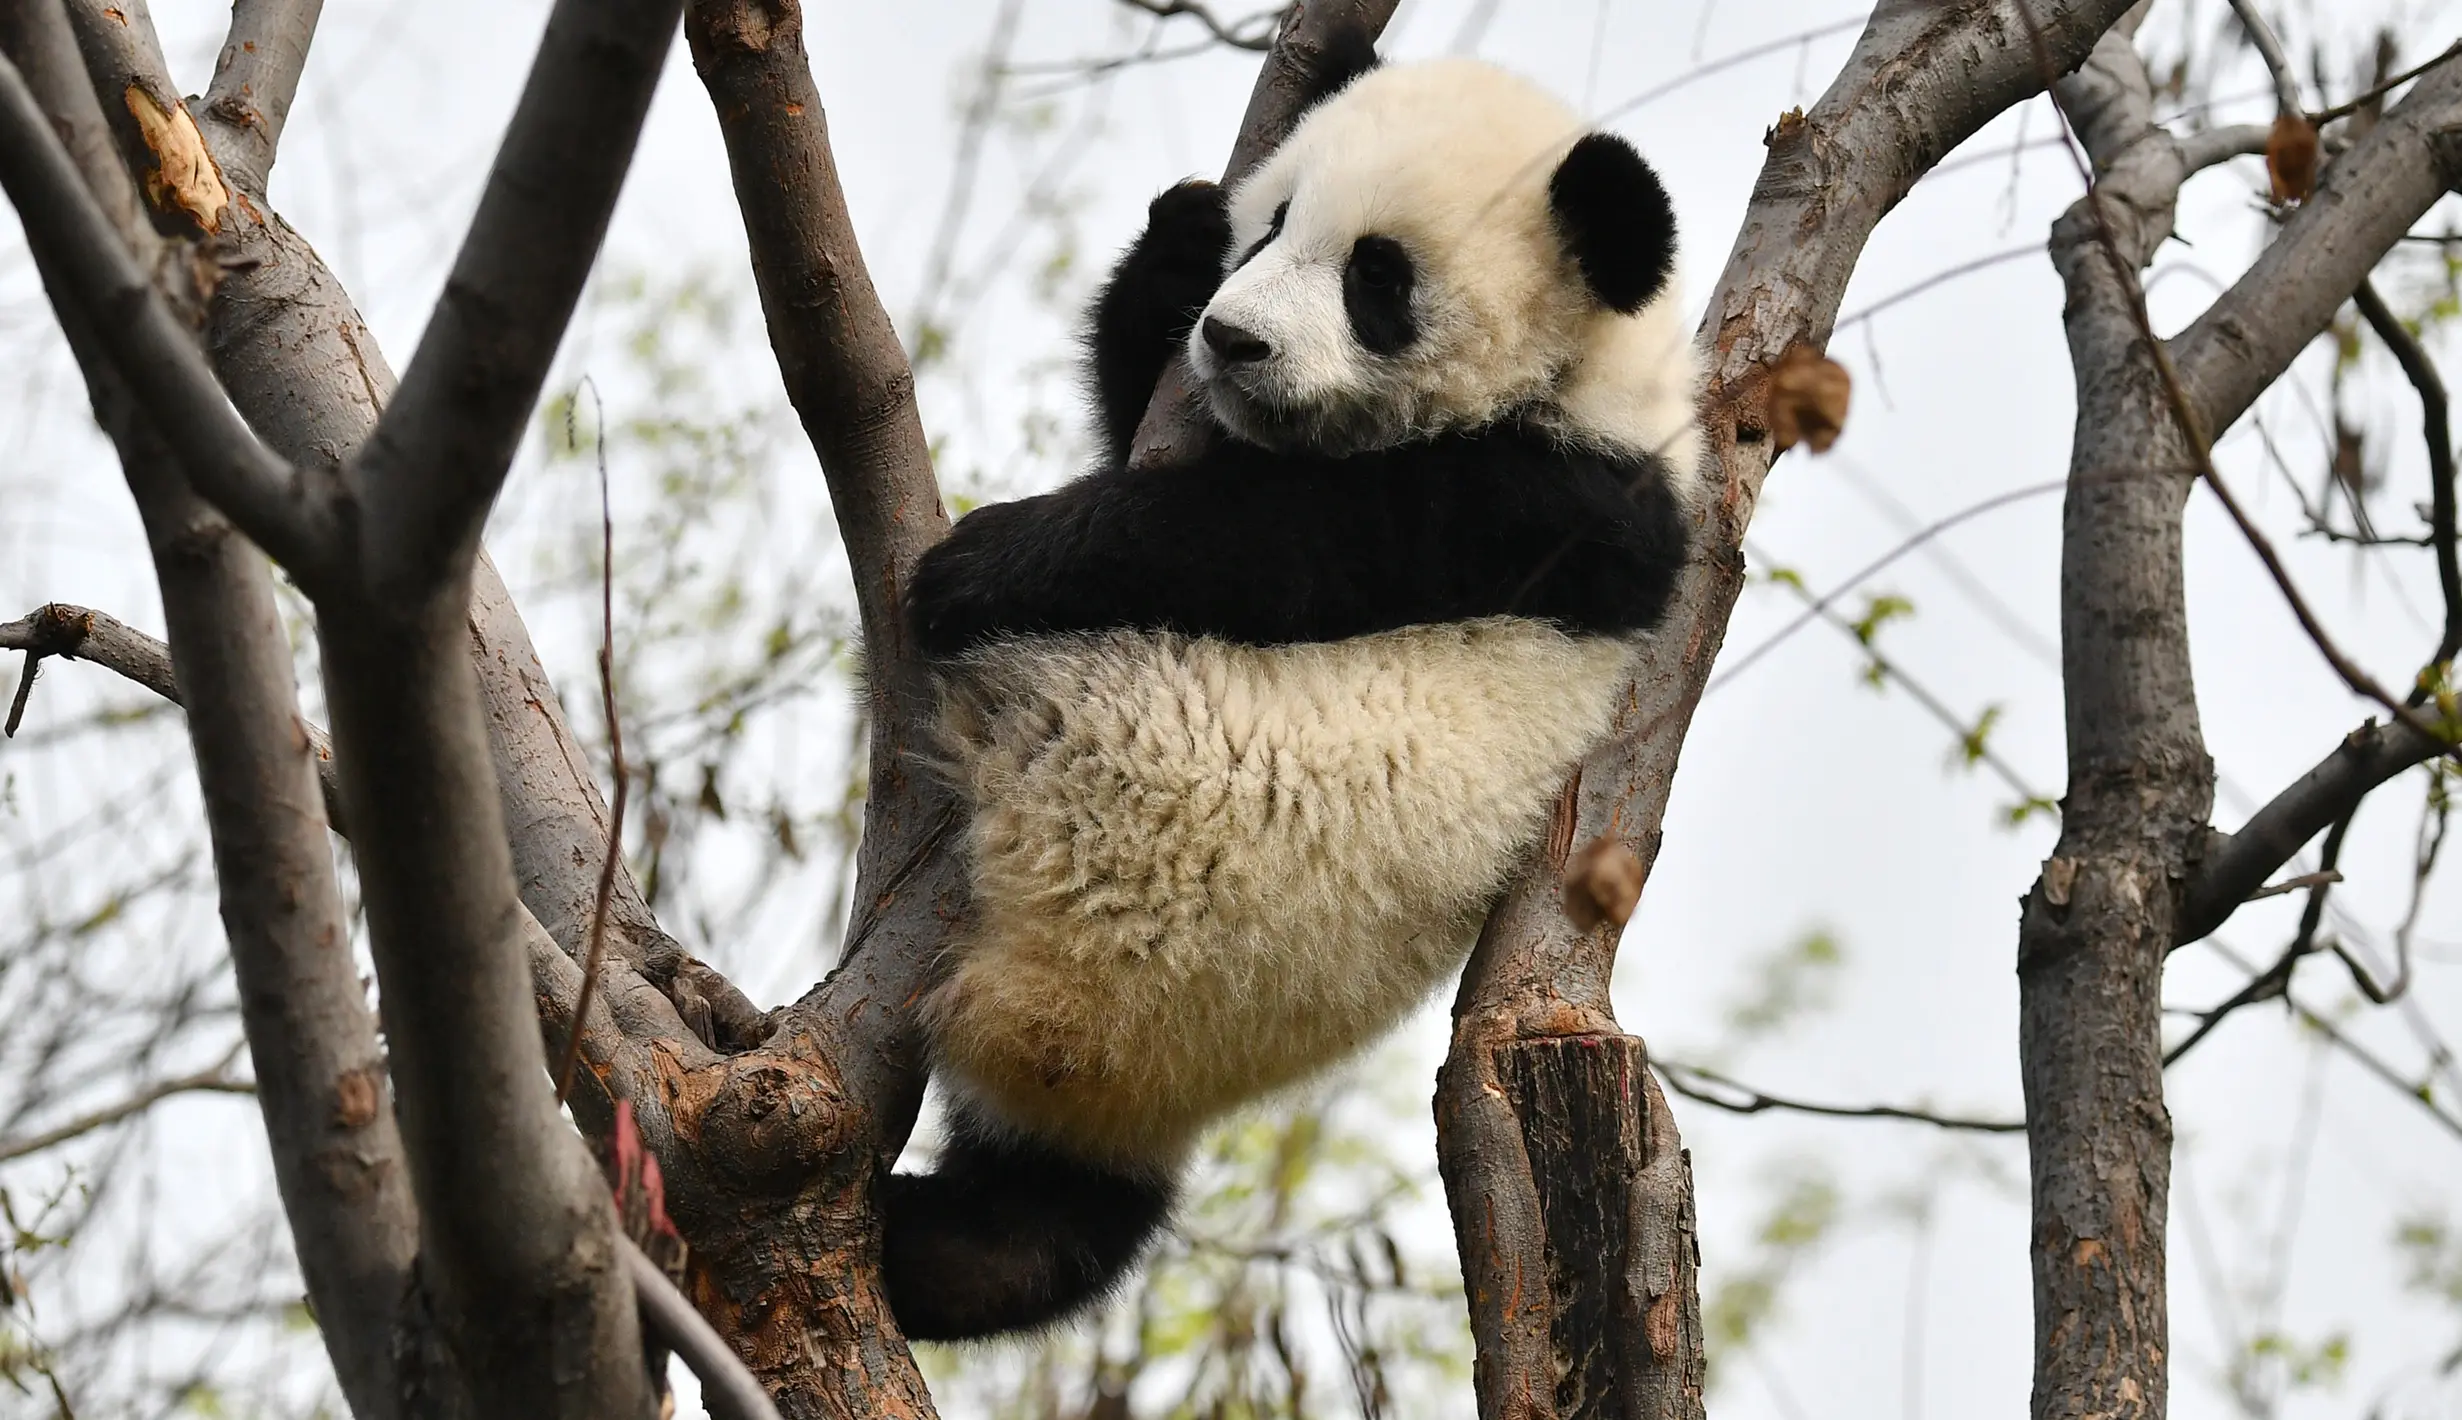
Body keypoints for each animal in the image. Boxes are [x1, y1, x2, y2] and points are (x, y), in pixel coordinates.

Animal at [882, 40, 1705, 1342]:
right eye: (1271, 225)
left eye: (1377, 277)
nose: (1230, 341)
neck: (1584, 378)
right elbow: (1145, 403)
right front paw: (1175, 238)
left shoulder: (1555, 501)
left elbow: (1274, 541)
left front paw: (980, 560)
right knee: (1039, 1232)